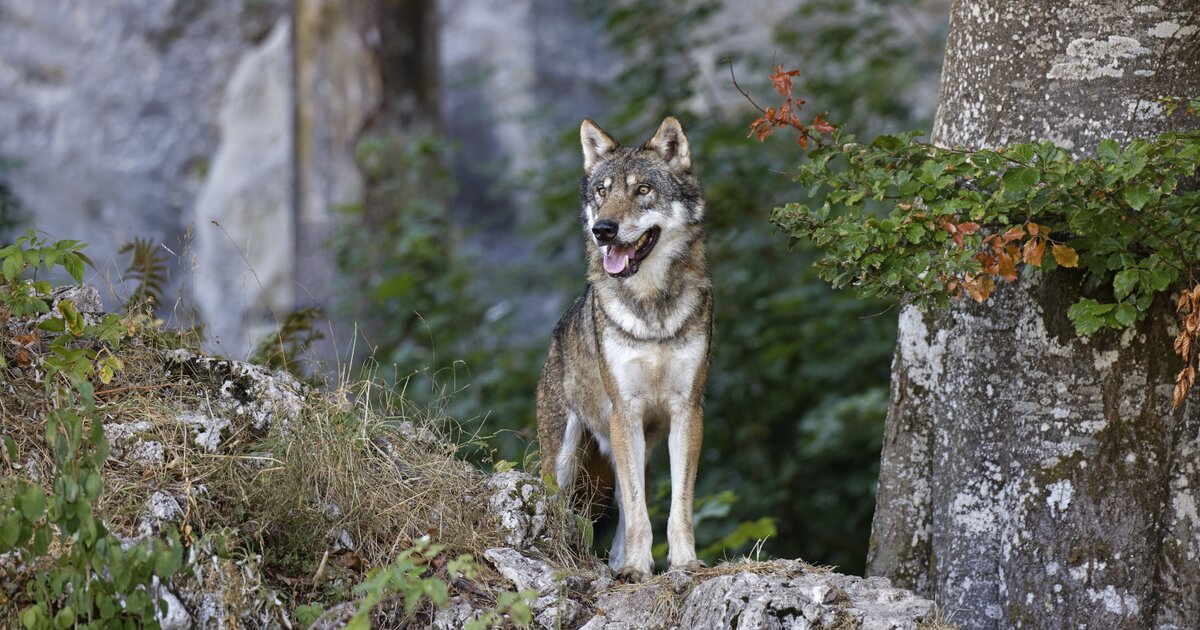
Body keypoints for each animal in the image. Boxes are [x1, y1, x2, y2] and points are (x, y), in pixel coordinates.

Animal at [537, 116, 712, 581]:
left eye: (643, 190)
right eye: (603, 191)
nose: (604, 230)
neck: (651, 311)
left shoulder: (688, 412)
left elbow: (677, 504)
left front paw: (683, 563)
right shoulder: (624, 412)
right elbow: (636, 509)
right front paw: (636, 568)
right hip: (565, 458)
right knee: (559, 503)